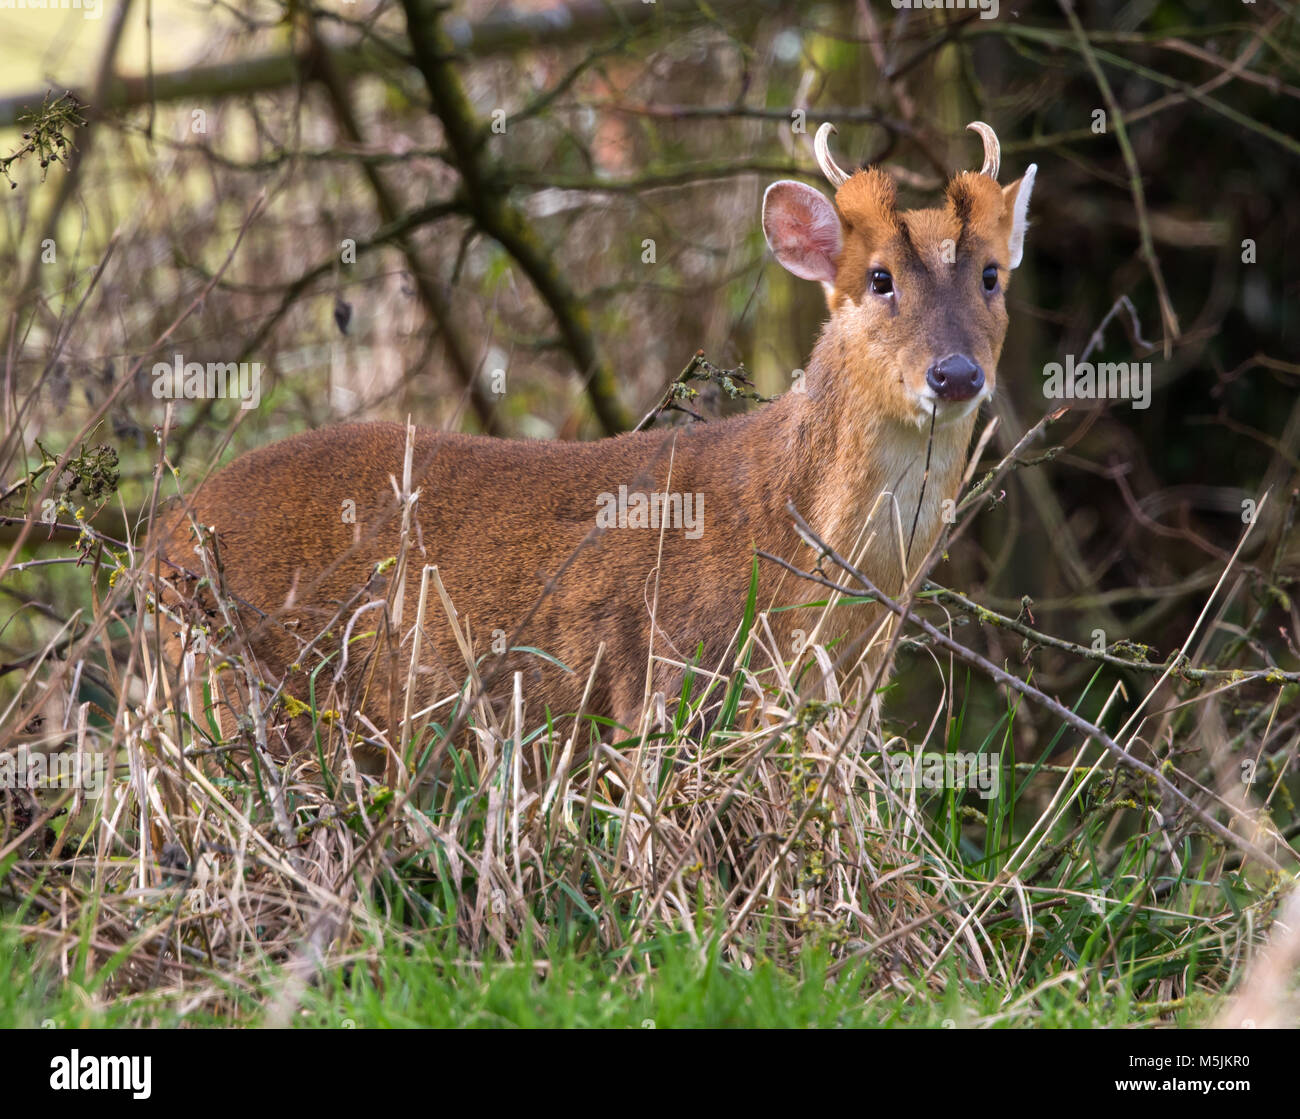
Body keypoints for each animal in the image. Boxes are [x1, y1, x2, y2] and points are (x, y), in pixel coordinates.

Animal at [154, 122, 1036, 778]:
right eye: (879, 278)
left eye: (992, 275)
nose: (956, 373)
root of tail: (159, 536)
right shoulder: (658, 681)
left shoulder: (845, 697)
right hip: (232, 688)